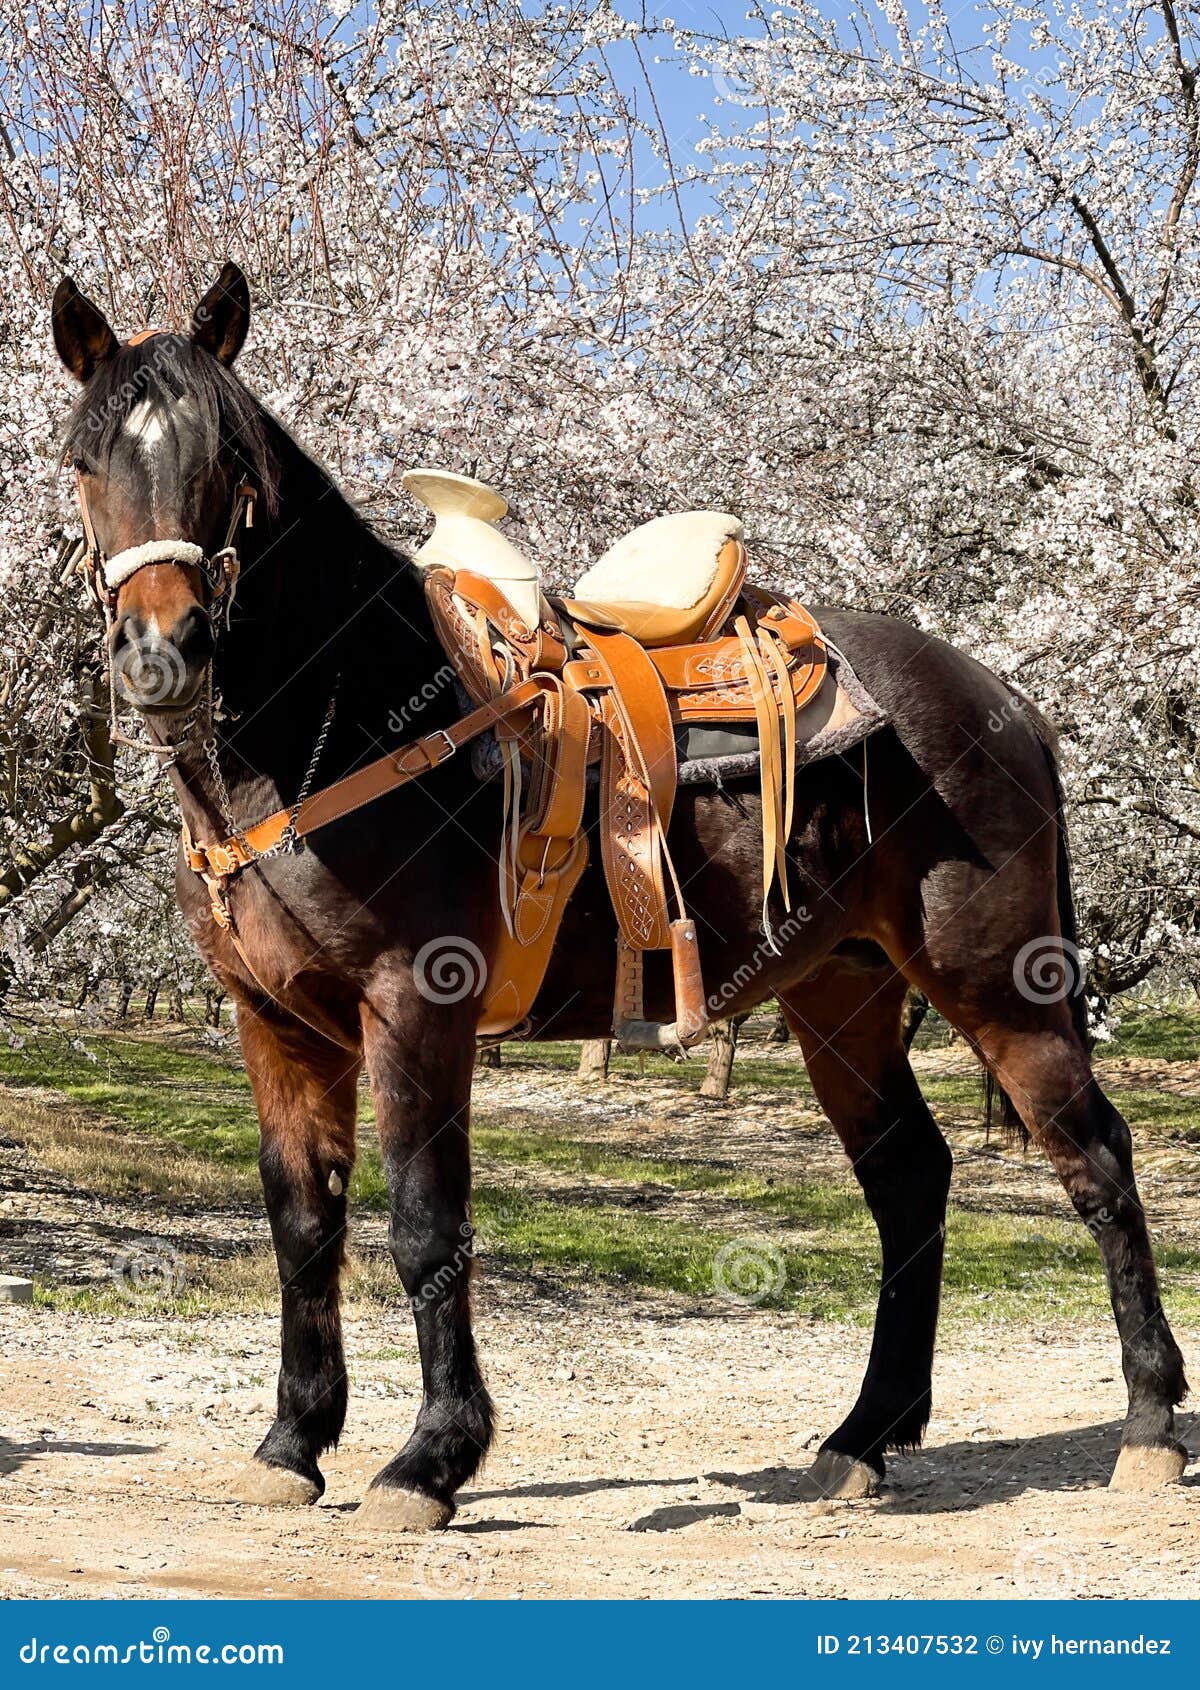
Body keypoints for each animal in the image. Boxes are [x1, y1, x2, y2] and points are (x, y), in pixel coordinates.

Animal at [50, 263, 1187, 1529]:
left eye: (228, 465)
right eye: (84, 457)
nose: (162, 649)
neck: (352, 718)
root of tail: (1003, 699)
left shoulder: (416, 1006)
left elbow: (424, 1221)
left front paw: (429, 1460)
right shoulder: (277, 1023)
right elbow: (304, 1222)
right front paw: (293, 1442)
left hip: (999, 983)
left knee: (1096, 1161)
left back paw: (1148, 1427)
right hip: (842, 996)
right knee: (909, 1182)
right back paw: (864, 1436)